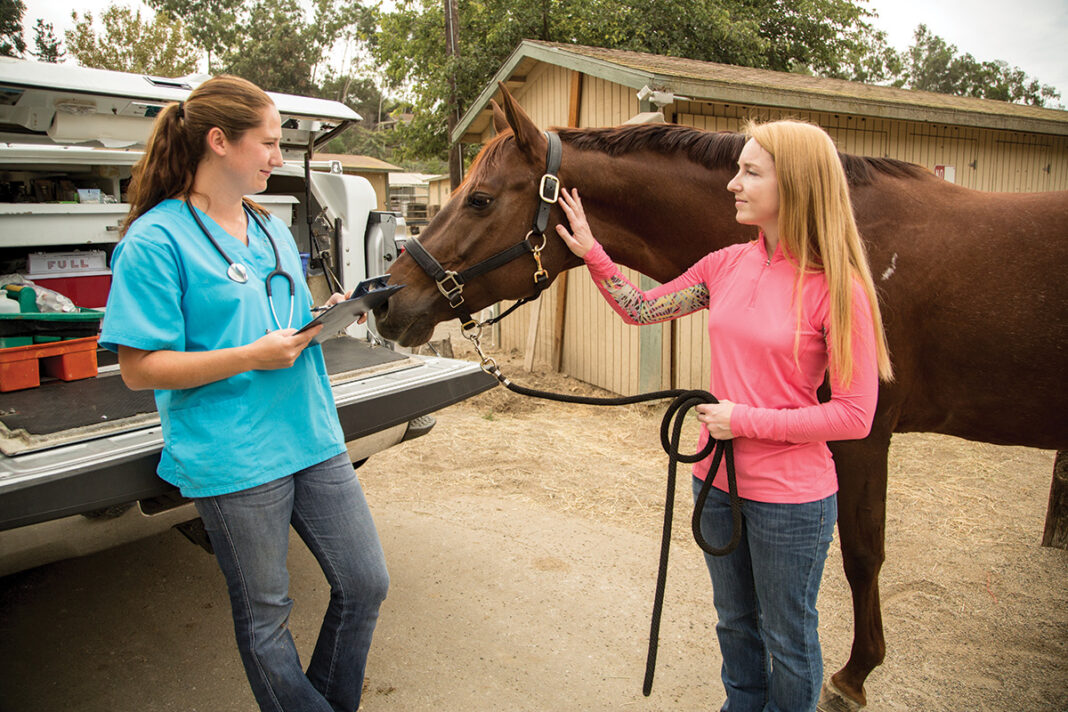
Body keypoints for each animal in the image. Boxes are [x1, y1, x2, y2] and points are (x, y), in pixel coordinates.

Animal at [374, 86, 1068, 710]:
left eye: (480, 199)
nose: (386, 300)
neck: (847, 242)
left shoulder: (863, 435)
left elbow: (862, 554)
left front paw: (854, 675)